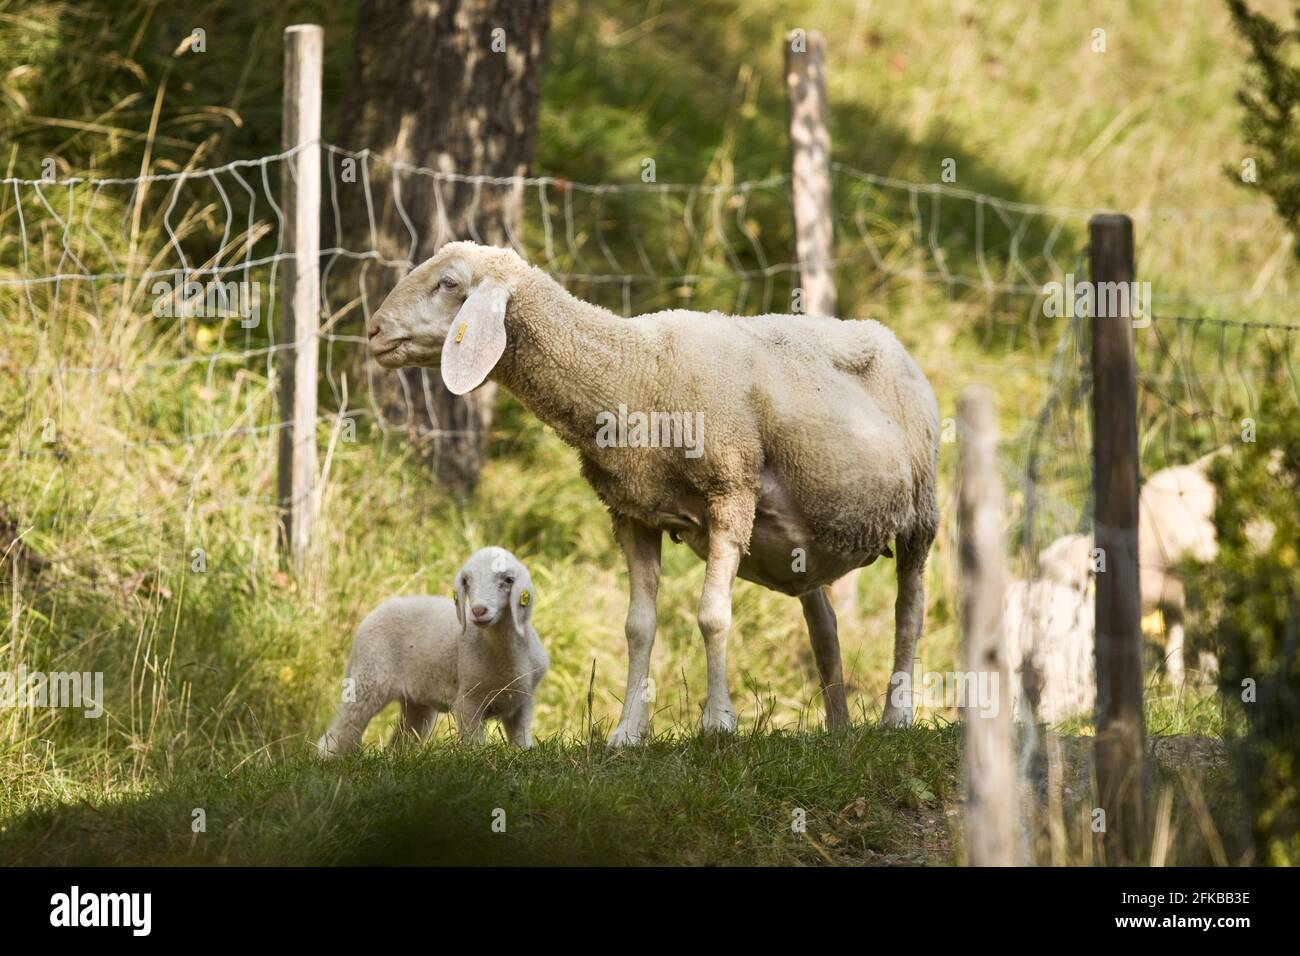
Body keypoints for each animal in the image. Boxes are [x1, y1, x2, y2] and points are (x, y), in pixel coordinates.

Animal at [316, 547, 547, 756]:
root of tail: (367, 620)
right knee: (343, 728)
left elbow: (521, 742)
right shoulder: (467, 702)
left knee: (403, 739)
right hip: (368, 680)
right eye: (467, 582)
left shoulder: (523, 703)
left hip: (417, 701)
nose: (478, 610)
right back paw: (326, 757)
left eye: (508, 580)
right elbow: (474, 743)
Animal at [367, 241, 940, 743]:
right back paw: (839, 727)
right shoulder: (633, 513)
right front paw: (627, 732)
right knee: (824, 624)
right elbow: (638, 627)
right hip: (806, 539)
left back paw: (896, 716)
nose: (372, 330)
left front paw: (717, 723)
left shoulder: (731, 491)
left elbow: (712, 616)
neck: (636, 370)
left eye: (448, 283)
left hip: (921, 508)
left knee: (909, 611)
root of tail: (883, 332)